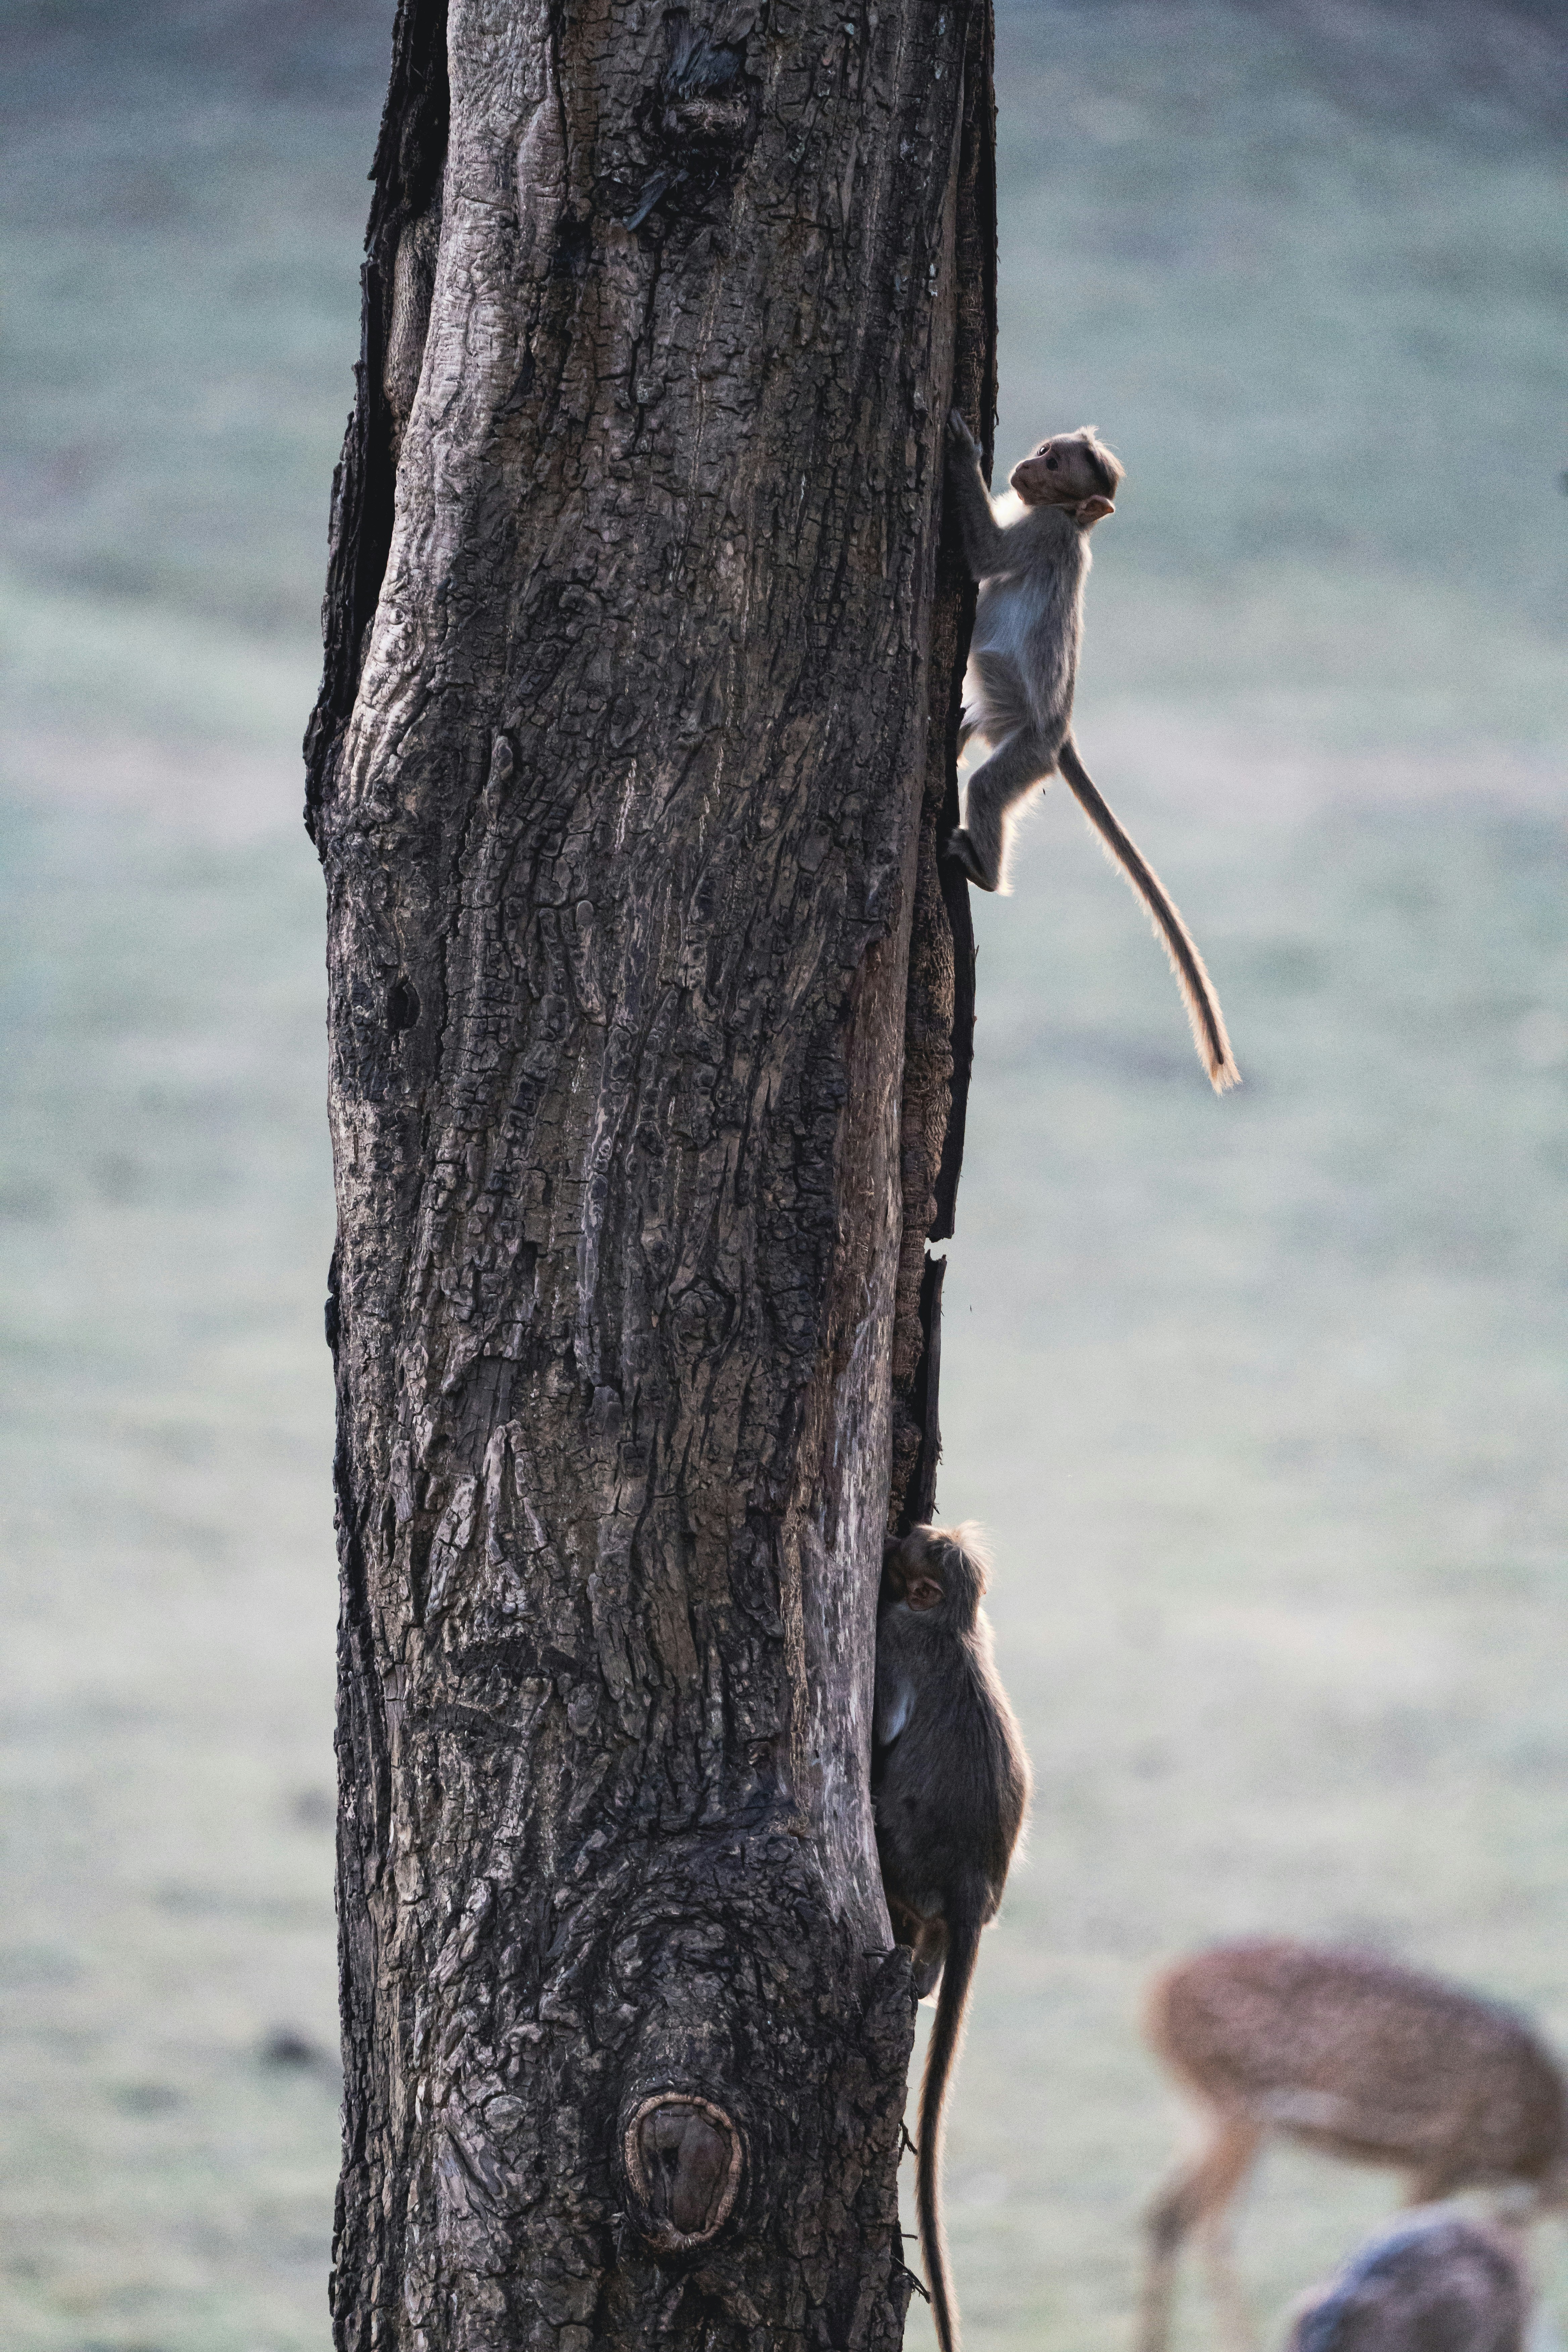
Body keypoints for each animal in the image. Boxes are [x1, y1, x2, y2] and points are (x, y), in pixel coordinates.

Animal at [943, 409, 1240, 1094]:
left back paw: (983, 869)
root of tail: (1061, 736)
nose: (1025, 465)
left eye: (1054, 464)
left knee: (989, 788)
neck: (1073, 523)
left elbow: (988, 555)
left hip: (1028, 752)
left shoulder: (1044, 533)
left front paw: (964, 453)